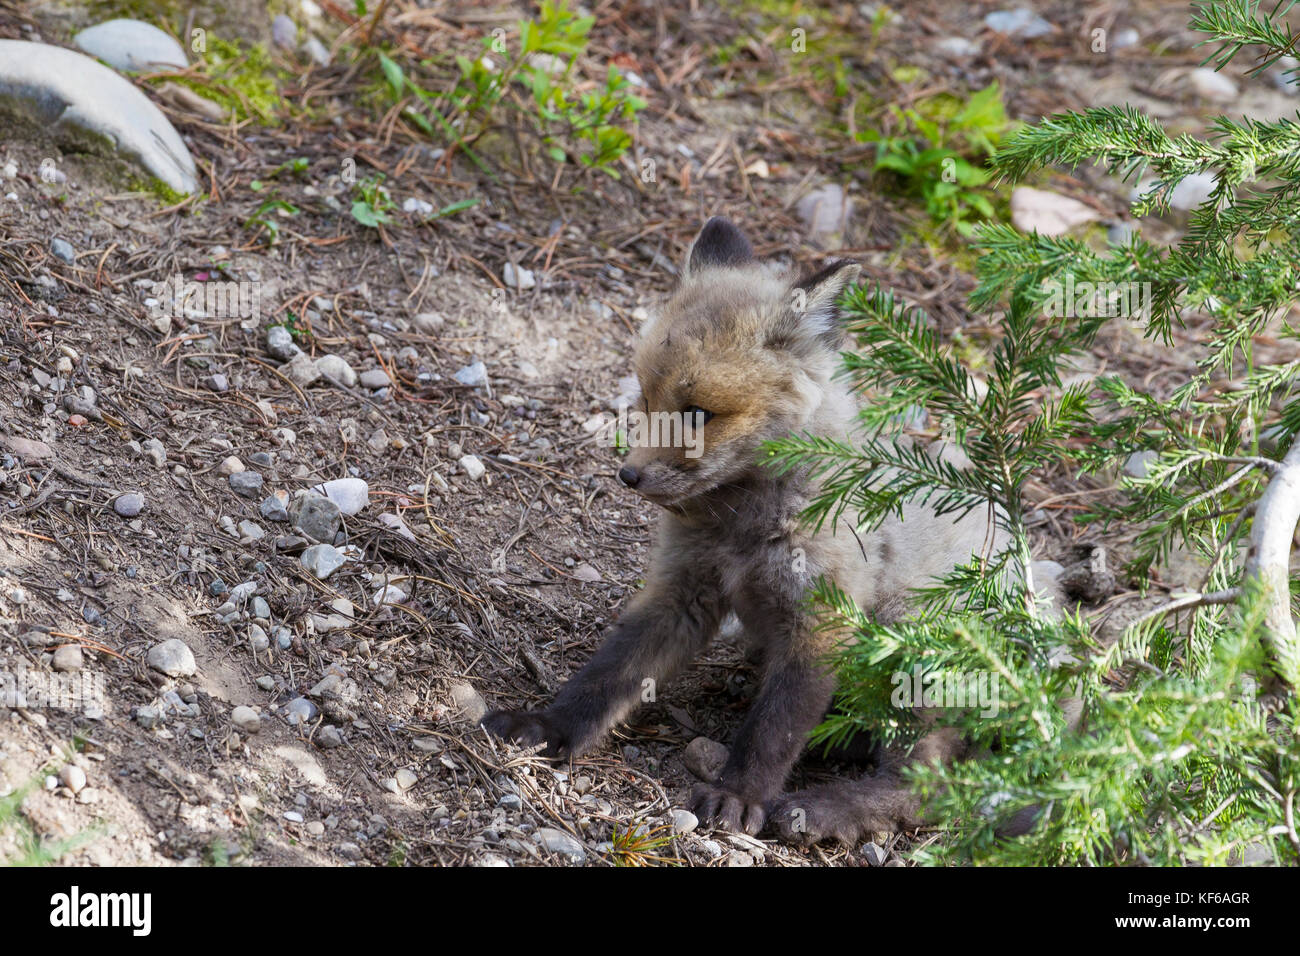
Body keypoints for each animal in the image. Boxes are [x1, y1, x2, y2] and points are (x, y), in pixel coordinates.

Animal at [483, 217, 1010, 846]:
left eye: (697, 413)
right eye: (646, 399)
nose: (627, 475)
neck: (741, 531)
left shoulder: (822, 623)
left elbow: (772, 730)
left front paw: (739, 795)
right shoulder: (682, 590)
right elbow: (608, 676)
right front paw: (547, 726)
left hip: (910, 648)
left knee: (925, 791)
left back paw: (824, 809)